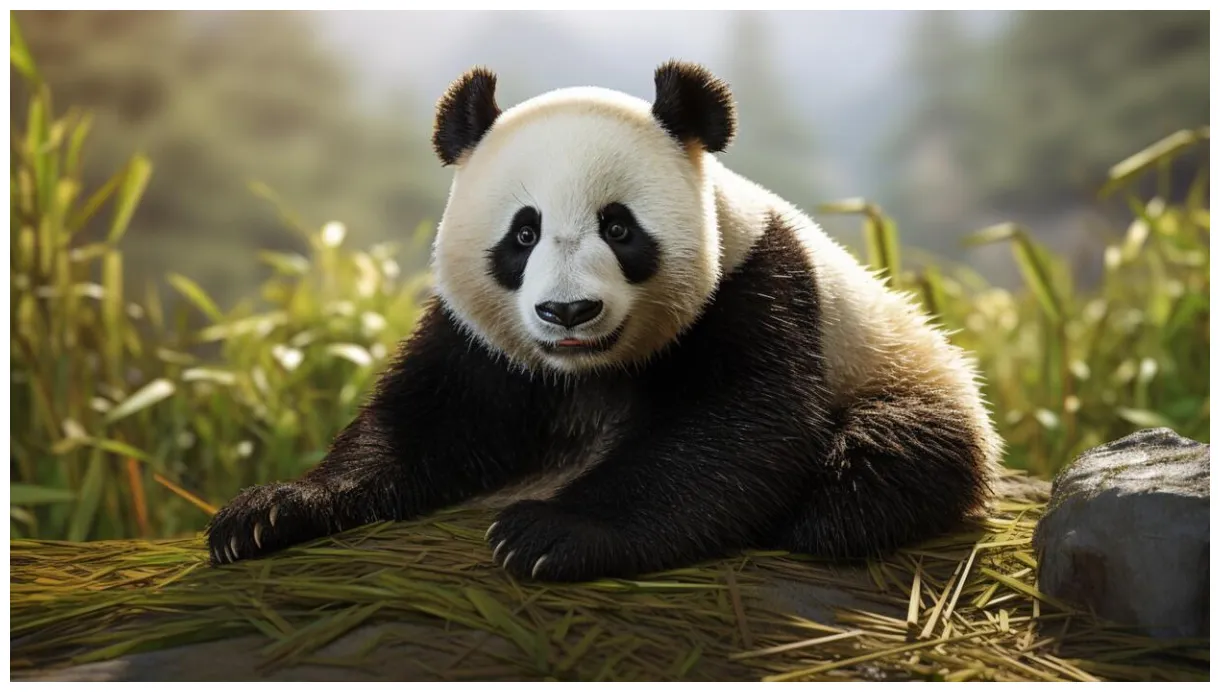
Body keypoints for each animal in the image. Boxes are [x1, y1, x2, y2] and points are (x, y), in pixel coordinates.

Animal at [205, 61, 1003, 583]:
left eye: (619, 228)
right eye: (523, 233)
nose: (568, 311)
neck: (588, 371)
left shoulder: (756, 290)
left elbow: (735, 428)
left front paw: (547, 532)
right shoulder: (477, 337)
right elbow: (428, 421)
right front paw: (267, 514)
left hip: (906, 369)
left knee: (895, 448)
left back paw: (829, 513)